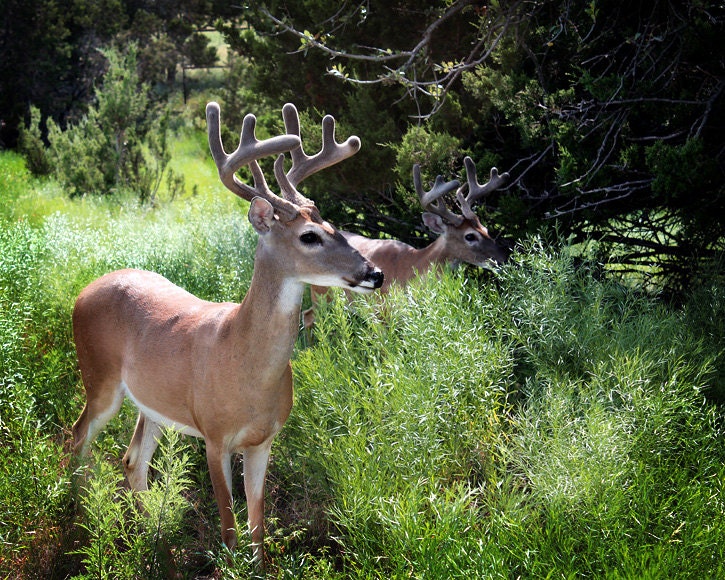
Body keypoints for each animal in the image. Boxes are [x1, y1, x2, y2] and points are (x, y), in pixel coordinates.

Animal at [71, 101, 384, 564]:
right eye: (309, 236)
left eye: (335, 228)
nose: (374, 273)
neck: (245, 364)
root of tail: (85, 289)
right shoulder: (214, 437)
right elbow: (230, 526)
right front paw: (228, 564)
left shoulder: (264, 440)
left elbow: (258, 525)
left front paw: (257, 566)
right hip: (99, 378)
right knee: (78, 438)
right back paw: (79, 521)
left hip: (153, 404)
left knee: (132, 459)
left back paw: (153, 537)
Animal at [303, 157, 509, 328]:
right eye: (470, 236)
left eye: (486, 229)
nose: (504, 258)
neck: (412, 269)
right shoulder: (380, 309)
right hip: (321, 292)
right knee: (309, 316)